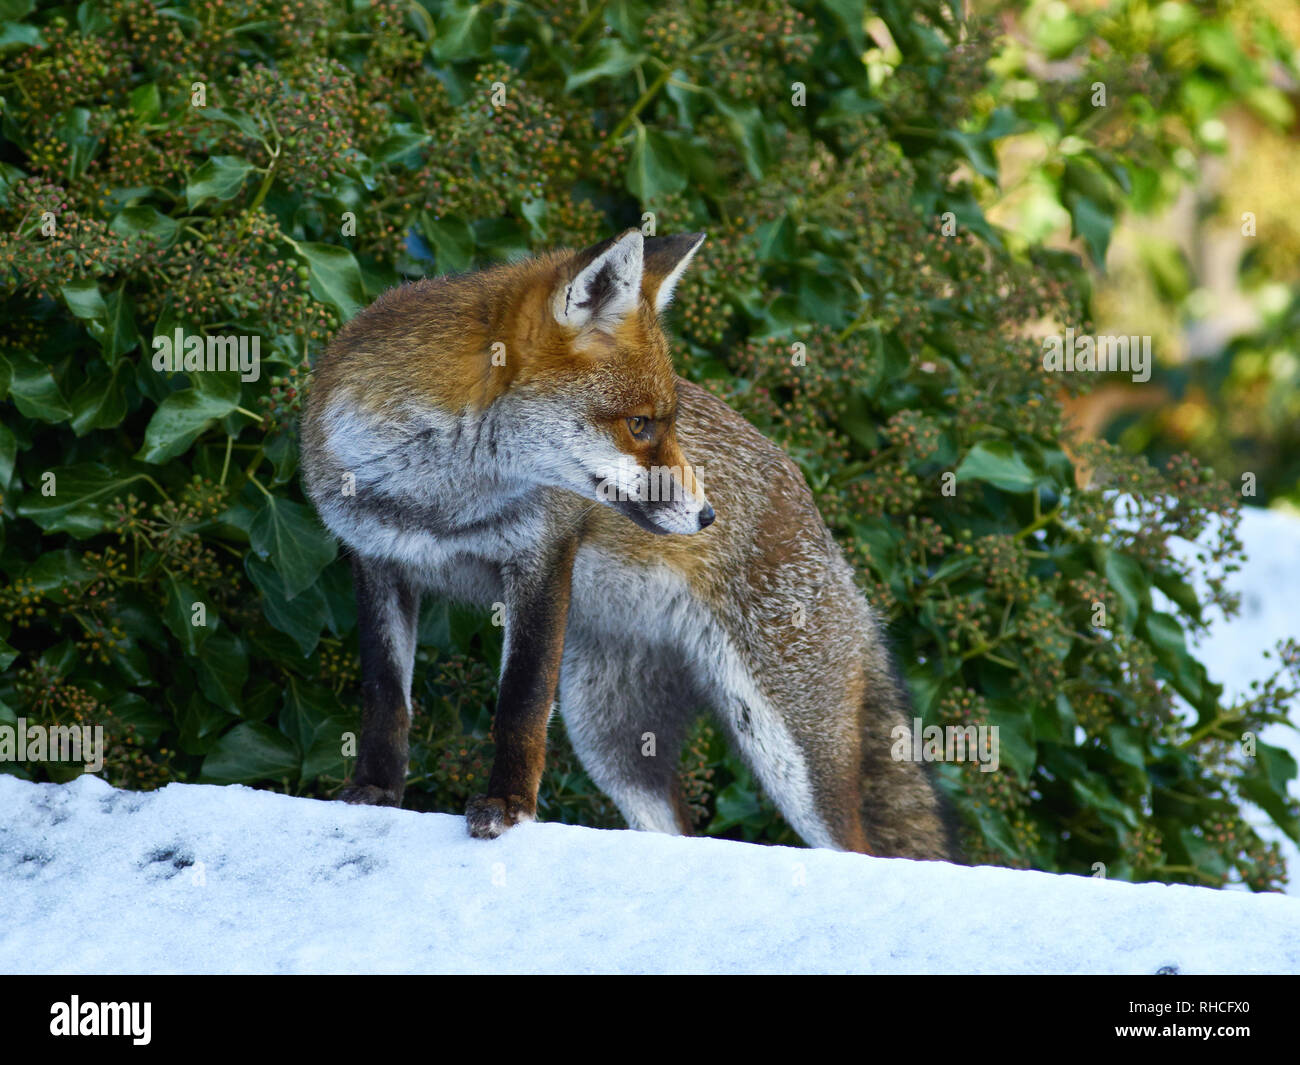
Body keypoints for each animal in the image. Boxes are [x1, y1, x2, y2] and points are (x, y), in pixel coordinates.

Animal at [300, 229, 956, 860]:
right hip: (612, 740)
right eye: (640, 425)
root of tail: (815, 515)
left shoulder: (543, 557)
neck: (438, 502)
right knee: (680, 833)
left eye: (670, 423)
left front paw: (508, 804)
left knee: (862, 850)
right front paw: (374, 792)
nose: (708, 515)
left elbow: (520, 703)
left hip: (788, 750)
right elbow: (386, 697)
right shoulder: (375, 559)